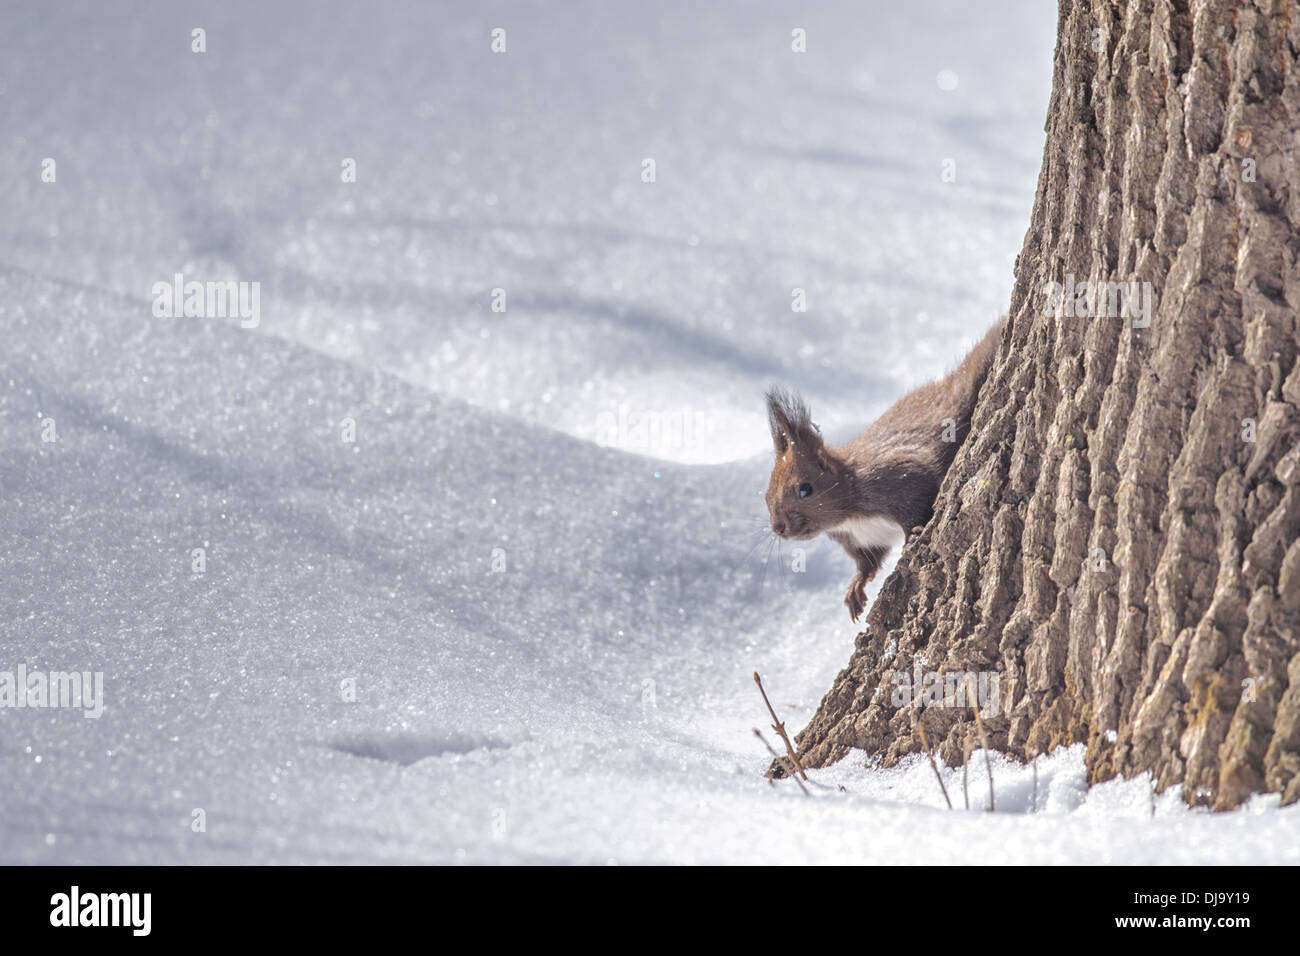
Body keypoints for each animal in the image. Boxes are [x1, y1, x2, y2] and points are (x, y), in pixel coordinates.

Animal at [764, 318, 1004, 621]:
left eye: (806, 489)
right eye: (766, 497)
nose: (779, 528)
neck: (850, 513)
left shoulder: (897, 478)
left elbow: (919, 497)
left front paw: (914, 533)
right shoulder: (860, 539)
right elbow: (868, 562)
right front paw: (855, 586)